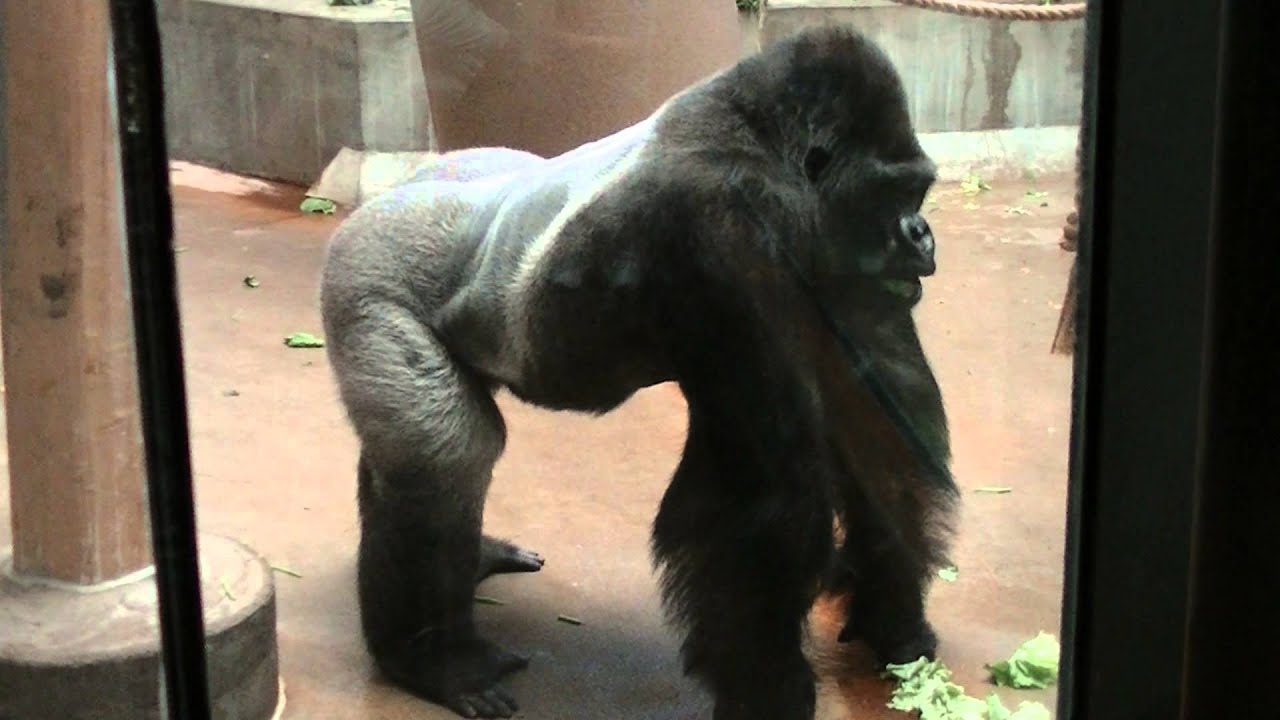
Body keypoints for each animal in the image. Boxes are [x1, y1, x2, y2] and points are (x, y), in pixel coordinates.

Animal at [318, 25, 956, 720]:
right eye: (890, 194)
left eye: (918, 191)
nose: (921, 235)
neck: (770, 152)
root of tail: (391, 190)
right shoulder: (720, 225)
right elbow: (766, 499)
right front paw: (773, 690)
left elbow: (886, 437)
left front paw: (896, 622)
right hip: (364, 276)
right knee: (444, 453)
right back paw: (430, 659)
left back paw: (468, 563)